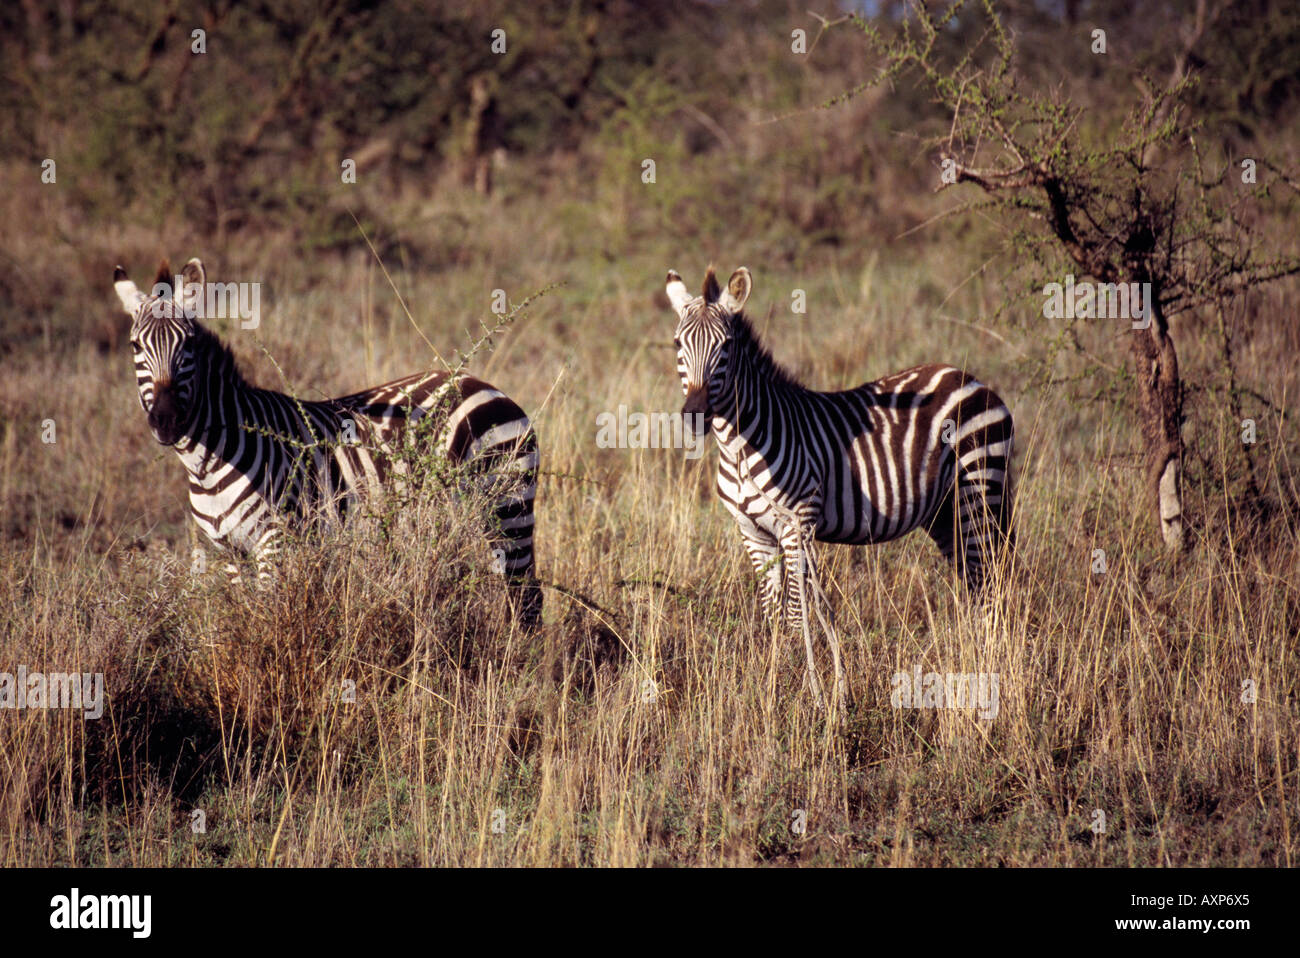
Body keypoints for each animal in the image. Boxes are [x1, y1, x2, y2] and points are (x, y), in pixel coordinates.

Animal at [114, 257, 542, 627]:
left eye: (188, 346)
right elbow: (246, 615)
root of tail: (481, 383)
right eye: (135, 346)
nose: (166, 421)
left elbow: (268, 618)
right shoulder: (229, 551)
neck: (209, 461)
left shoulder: (276, 540)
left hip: (509, 507)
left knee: (526, 597)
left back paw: (519, 663)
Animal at [666, 265, 1014, 709]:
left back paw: (989, 666)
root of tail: (969, 377)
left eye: (726, 346)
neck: (739, 446)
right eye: (678, 343)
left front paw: (808, 692)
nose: (695, 415)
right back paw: (969, 659)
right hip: (945, 511)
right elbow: (772, 613)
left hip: (980, 490)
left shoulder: (798, 524)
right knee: (975, 581)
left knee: (990, 582)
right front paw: (770, 686)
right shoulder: (752, 532)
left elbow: (797, 613)